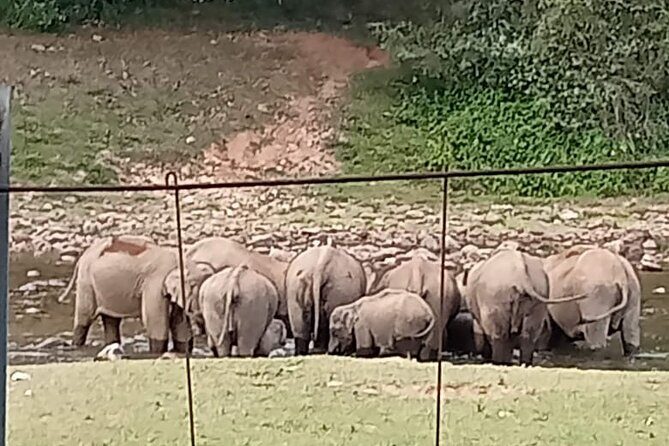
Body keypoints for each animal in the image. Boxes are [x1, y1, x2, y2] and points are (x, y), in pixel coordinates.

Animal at [60, 235, 211, 355]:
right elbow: (154, 319)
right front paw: (157, 353)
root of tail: (82, 257)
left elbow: (179, 320)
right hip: (86, 282)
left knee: (111, 320)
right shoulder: (155, 283)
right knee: (84, 318)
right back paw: (77, 345)